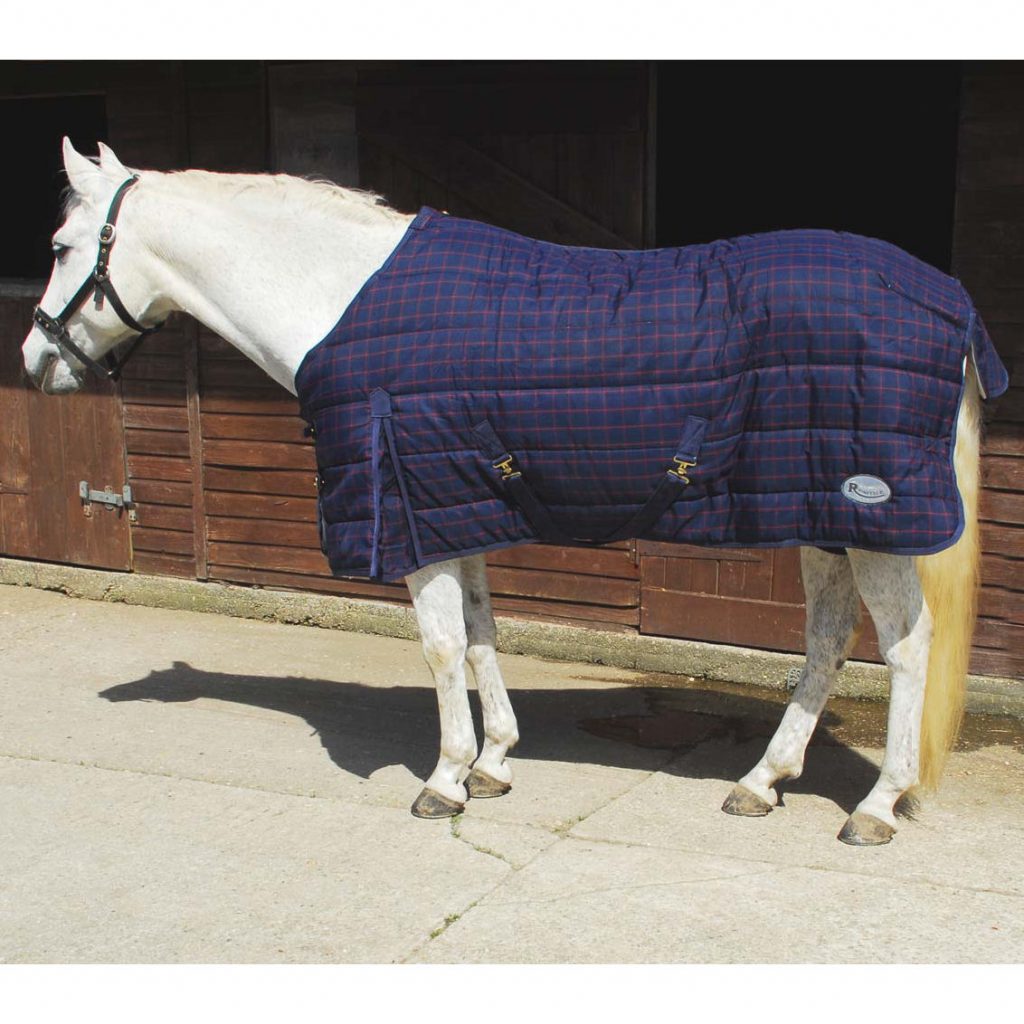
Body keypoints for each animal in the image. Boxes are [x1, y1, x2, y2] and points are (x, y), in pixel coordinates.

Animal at [22, 138, 1000, 846]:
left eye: (63, 248)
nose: (34, 361)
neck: (346, 299)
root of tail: (951, 299)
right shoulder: (454, 507)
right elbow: (484, 634)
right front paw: (493, 762)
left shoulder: (410, 513)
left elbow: (441, 649)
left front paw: (444, 780)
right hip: (821, 518)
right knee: (829, 641)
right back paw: (762, 783)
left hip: (871, 522)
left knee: (906, 648)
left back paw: (875, 806)